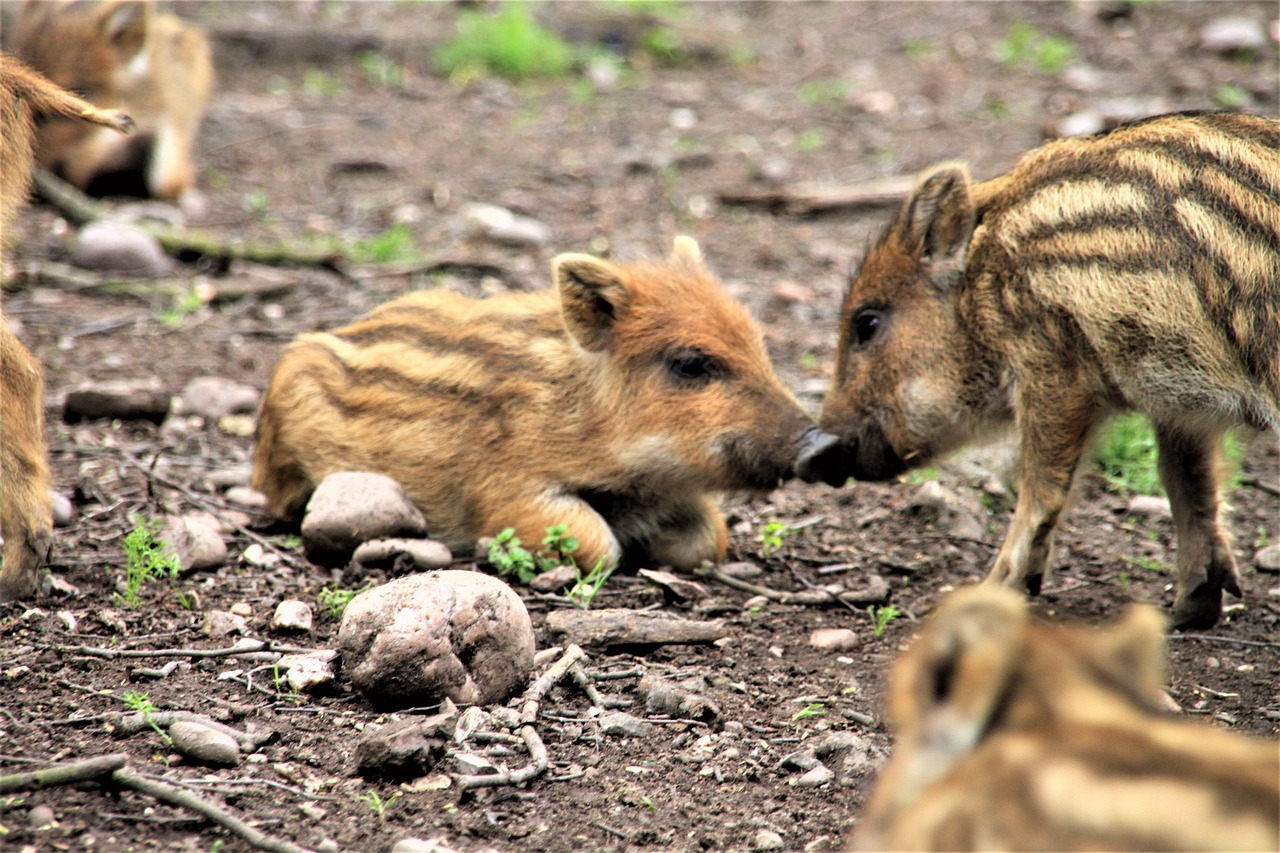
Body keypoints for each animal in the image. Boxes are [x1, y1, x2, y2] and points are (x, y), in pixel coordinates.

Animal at [252, 237, 834, 571]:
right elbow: (596, 543)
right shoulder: (505, 491)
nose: (820, 441)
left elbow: (712, 536)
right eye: (690, 363)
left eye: (758, 344)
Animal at [798, 112, 1280, 629]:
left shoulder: (1050, 366)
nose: (812, 455)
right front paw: (1189, 612)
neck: (983, 283)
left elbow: (1039, 485)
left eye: (866, 323)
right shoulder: (1175, 398)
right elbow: (1186, 478)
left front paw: (989, 592)